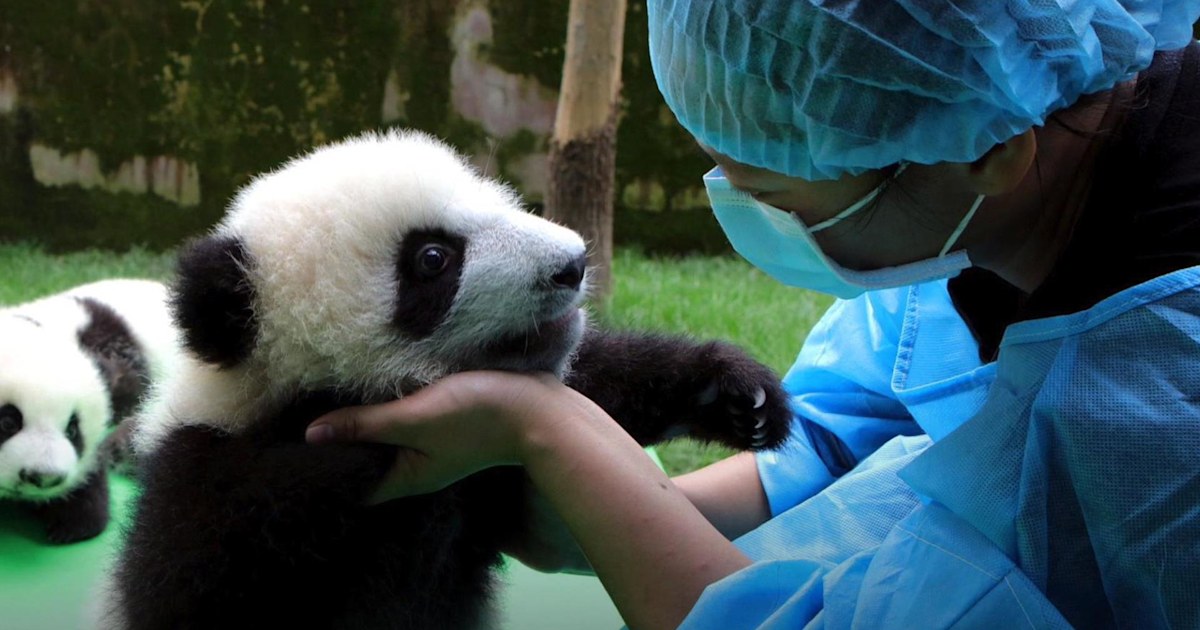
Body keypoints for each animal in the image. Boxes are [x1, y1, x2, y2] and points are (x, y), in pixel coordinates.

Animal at [100, 130, 793, 629]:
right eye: (433, 258)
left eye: (495, 198)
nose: (573, 263)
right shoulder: (203, 487)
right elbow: (195, 571)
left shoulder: (490, 479)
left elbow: (592, 385)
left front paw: (738, 394)